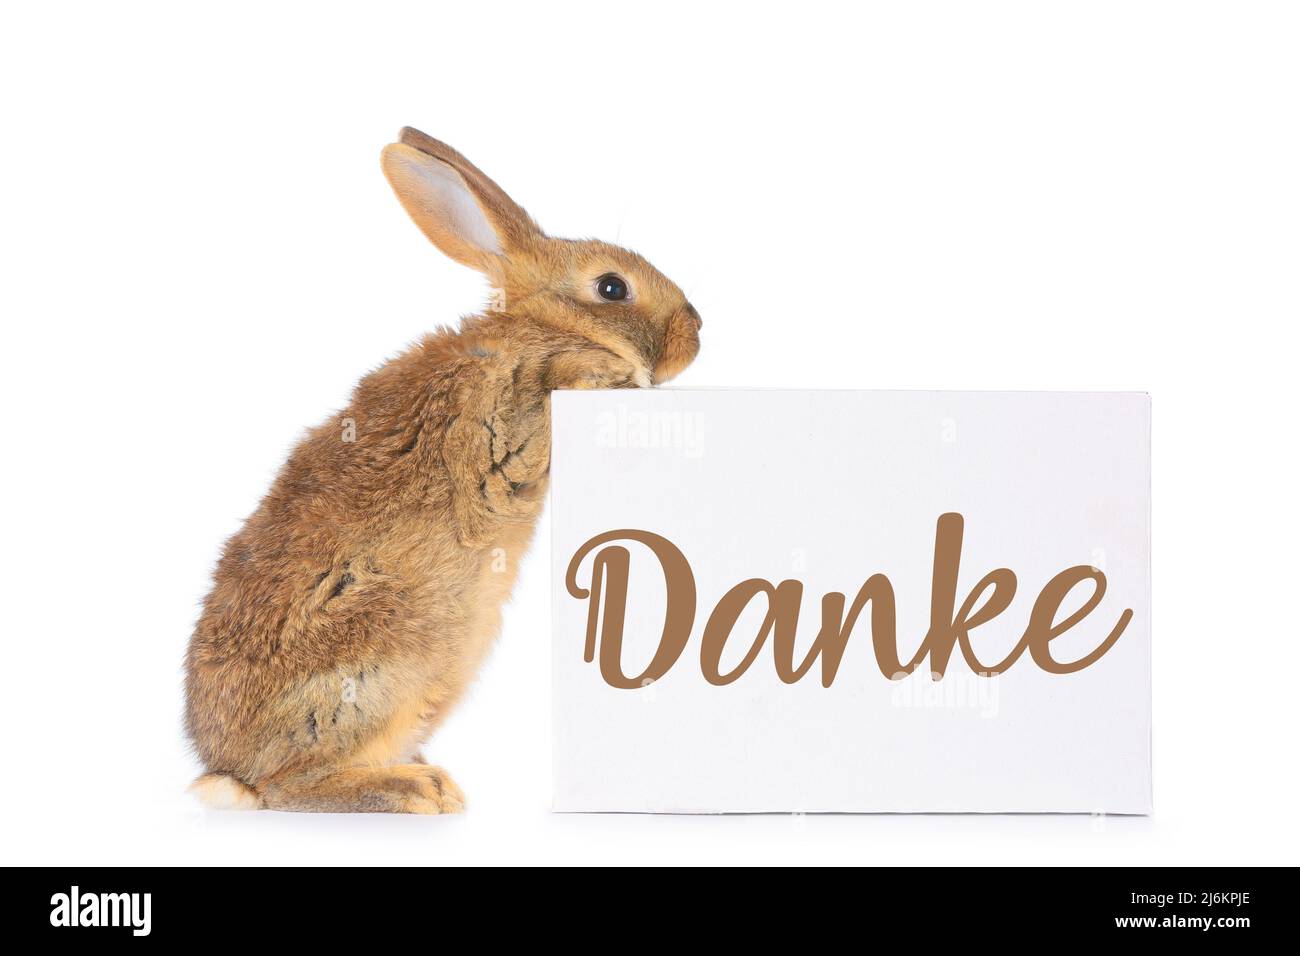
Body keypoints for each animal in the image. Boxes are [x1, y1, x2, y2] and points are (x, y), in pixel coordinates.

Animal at [184, 127, 701, 813]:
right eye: (612, 288)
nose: (696, 332)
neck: (545, 327)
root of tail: (230, 771)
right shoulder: (512, 422)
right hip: (384, 657)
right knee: (289, 786)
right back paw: (417, 791)